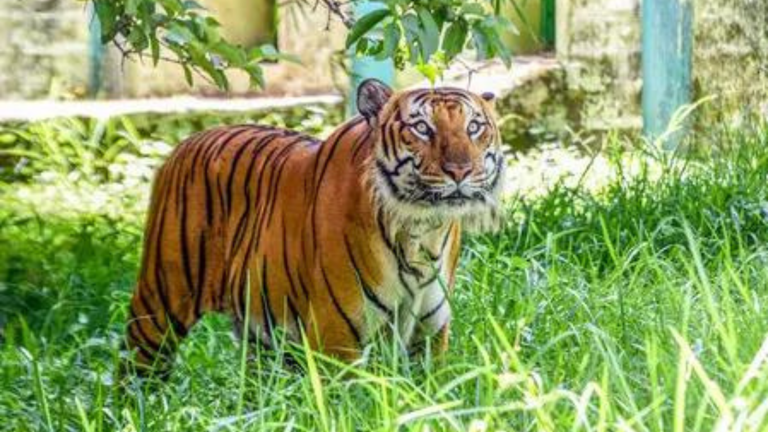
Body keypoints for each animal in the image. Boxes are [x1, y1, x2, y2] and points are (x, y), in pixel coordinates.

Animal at [126, 79, 506, 374]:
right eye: (422, 129)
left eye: (474, 127)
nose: (460, 171)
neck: (421, 229)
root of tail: (187, 141)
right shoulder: (337, 337)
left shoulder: (428, 337)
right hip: (160, 302)